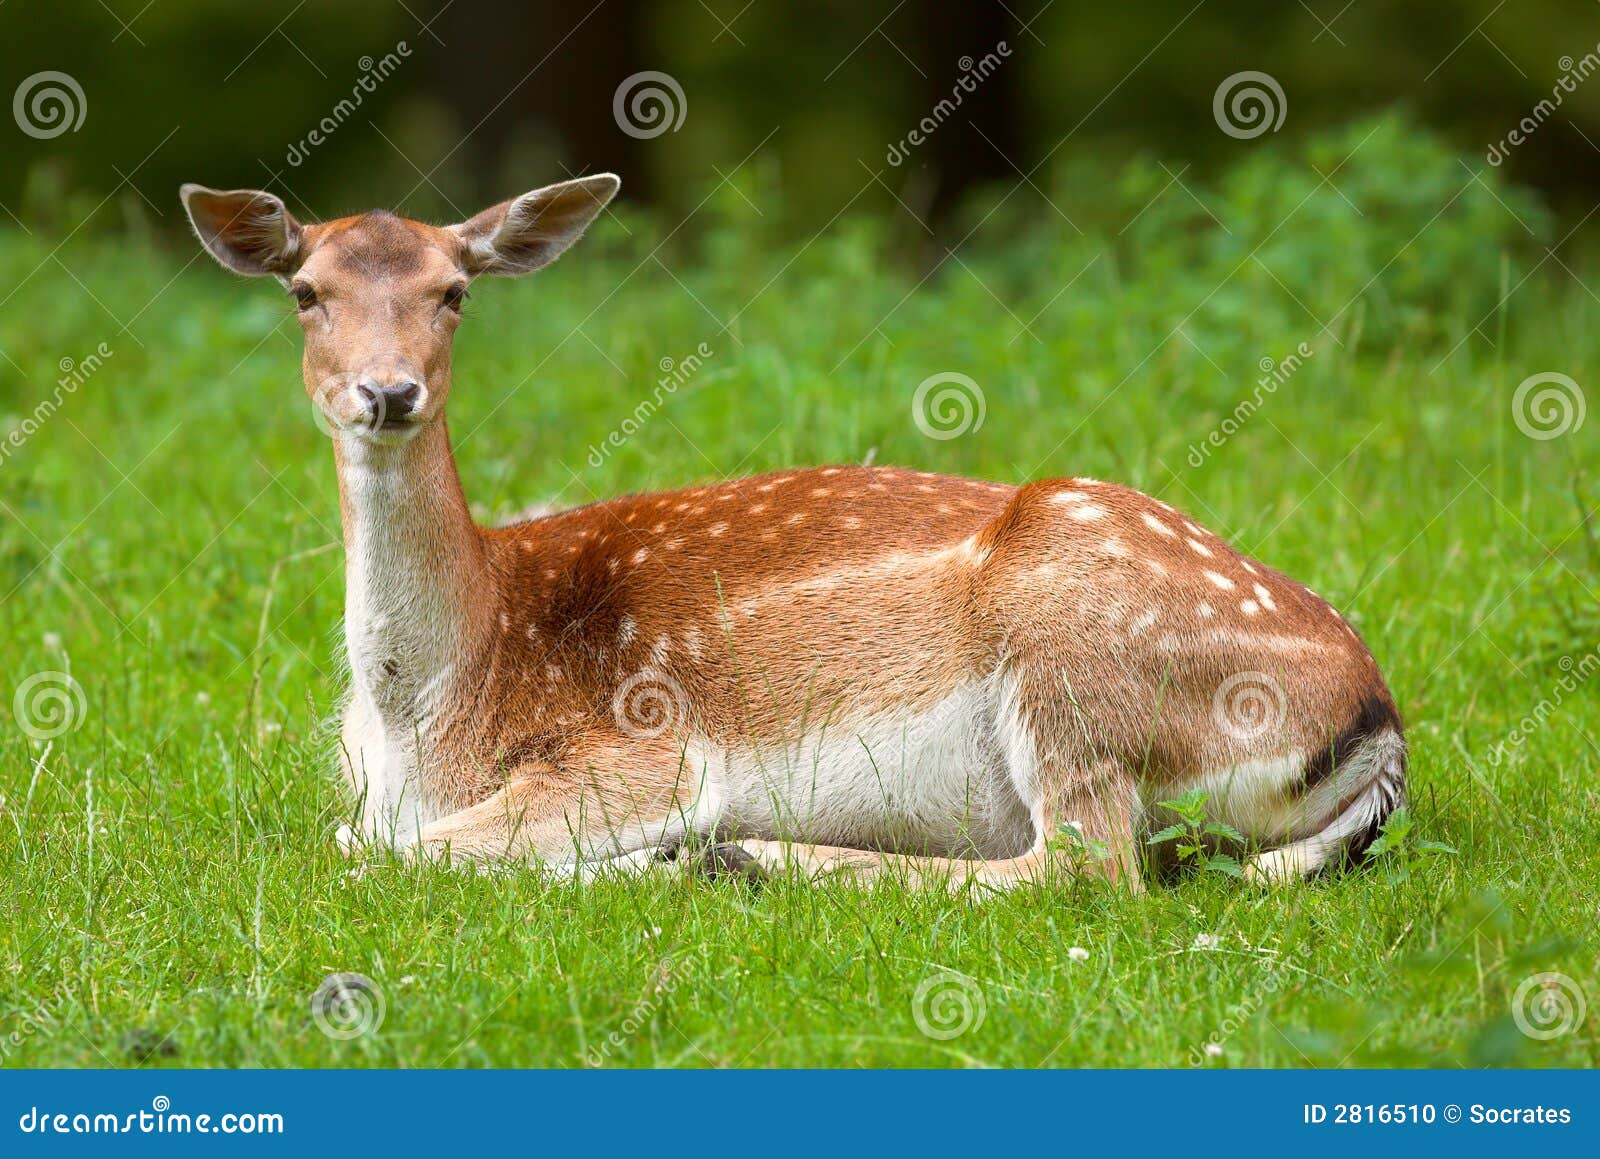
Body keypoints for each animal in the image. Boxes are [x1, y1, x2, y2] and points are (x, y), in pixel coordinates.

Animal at [179, 173, 1406, 891]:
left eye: (453, 291)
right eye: (304, 290)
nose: (387, 391)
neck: (426, 711)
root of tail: (1378, 722)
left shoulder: (642, 749)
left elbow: (372, 853)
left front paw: (654, 858)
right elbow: (362, 835)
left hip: (1073, 658)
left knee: (1082, 867)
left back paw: (744, 857)